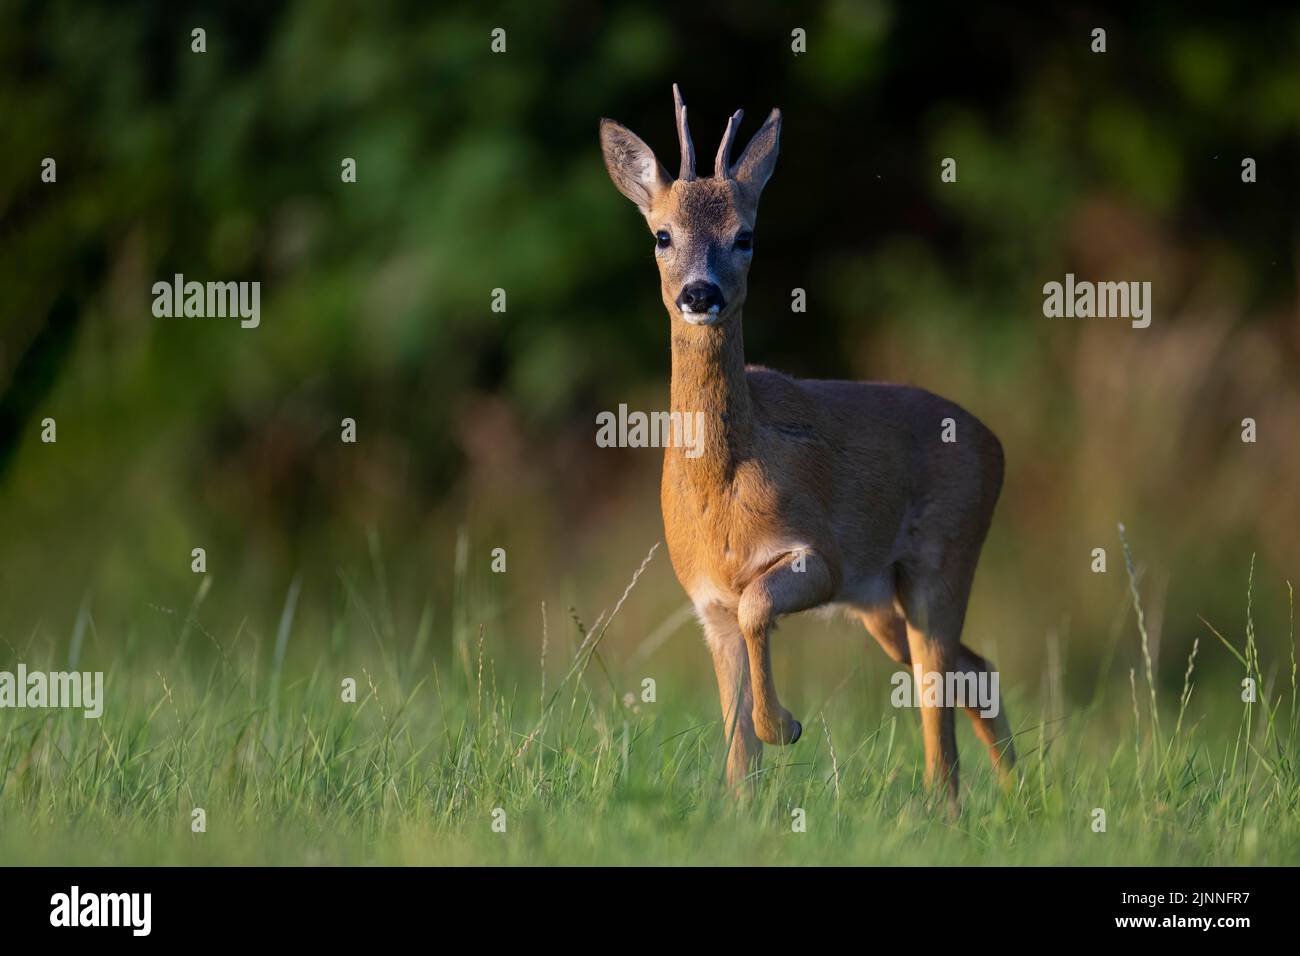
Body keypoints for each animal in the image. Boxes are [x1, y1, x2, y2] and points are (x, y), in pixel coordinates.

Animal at [598, 86, 1014, 811]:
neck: (722, 489)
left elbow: (760, 608)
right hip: (883, 601)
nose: (700, 293)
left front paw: (786, 725)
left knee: (939, 688)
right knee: (975, 669)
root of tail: (994, 443)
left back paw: (950, 805)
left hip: (942, 555)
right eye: (662, 234)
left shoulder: (820, 554)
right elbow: (735, 735)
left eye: (744, 235)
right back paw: (1017, 795)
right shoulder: (707, 601)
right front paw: (743, 802)